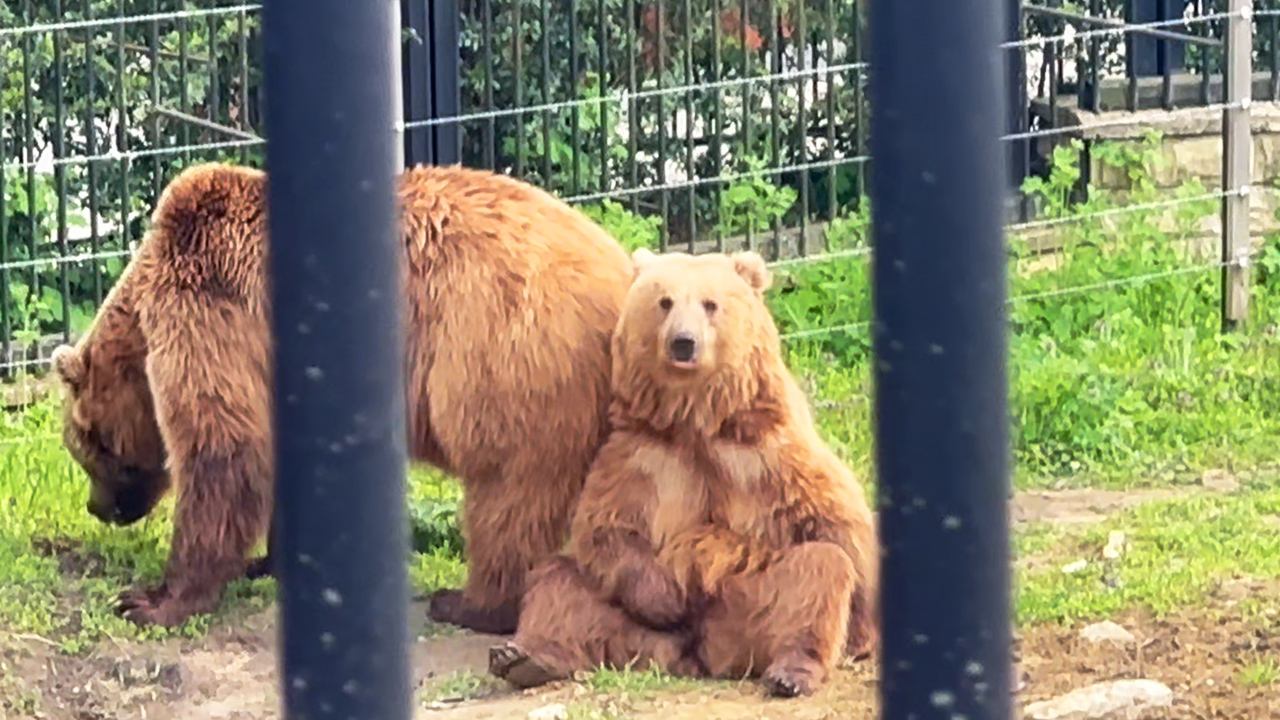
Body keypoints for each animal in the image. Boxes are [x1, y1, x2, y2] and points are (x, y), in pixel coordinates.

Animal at [49, 161, 635, 632]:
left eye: (88, 446)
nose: (98, 507)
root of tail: (623, 277)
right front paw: (270, 561)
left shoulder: (211, 307)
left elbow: (224, 449)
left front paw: (154, 599)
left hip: (507, 365)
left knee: (507, 499)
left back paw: (468, 604)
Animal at [487, 248, 880, 698]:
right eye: (665, 301)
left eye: (710, 303)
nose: (683, 342)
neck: (695, 417)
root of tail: (702, 656)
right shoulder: (643, 456)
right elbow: (607, 527)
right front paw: (670, 599)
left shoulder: (764, 452)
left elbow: (833, 518)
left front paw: (862, 633)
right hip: (636, 630)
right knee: (559, 582)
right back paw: (525, 657)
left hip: (747, 602)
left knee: (818, 570)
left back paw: (790, 672)